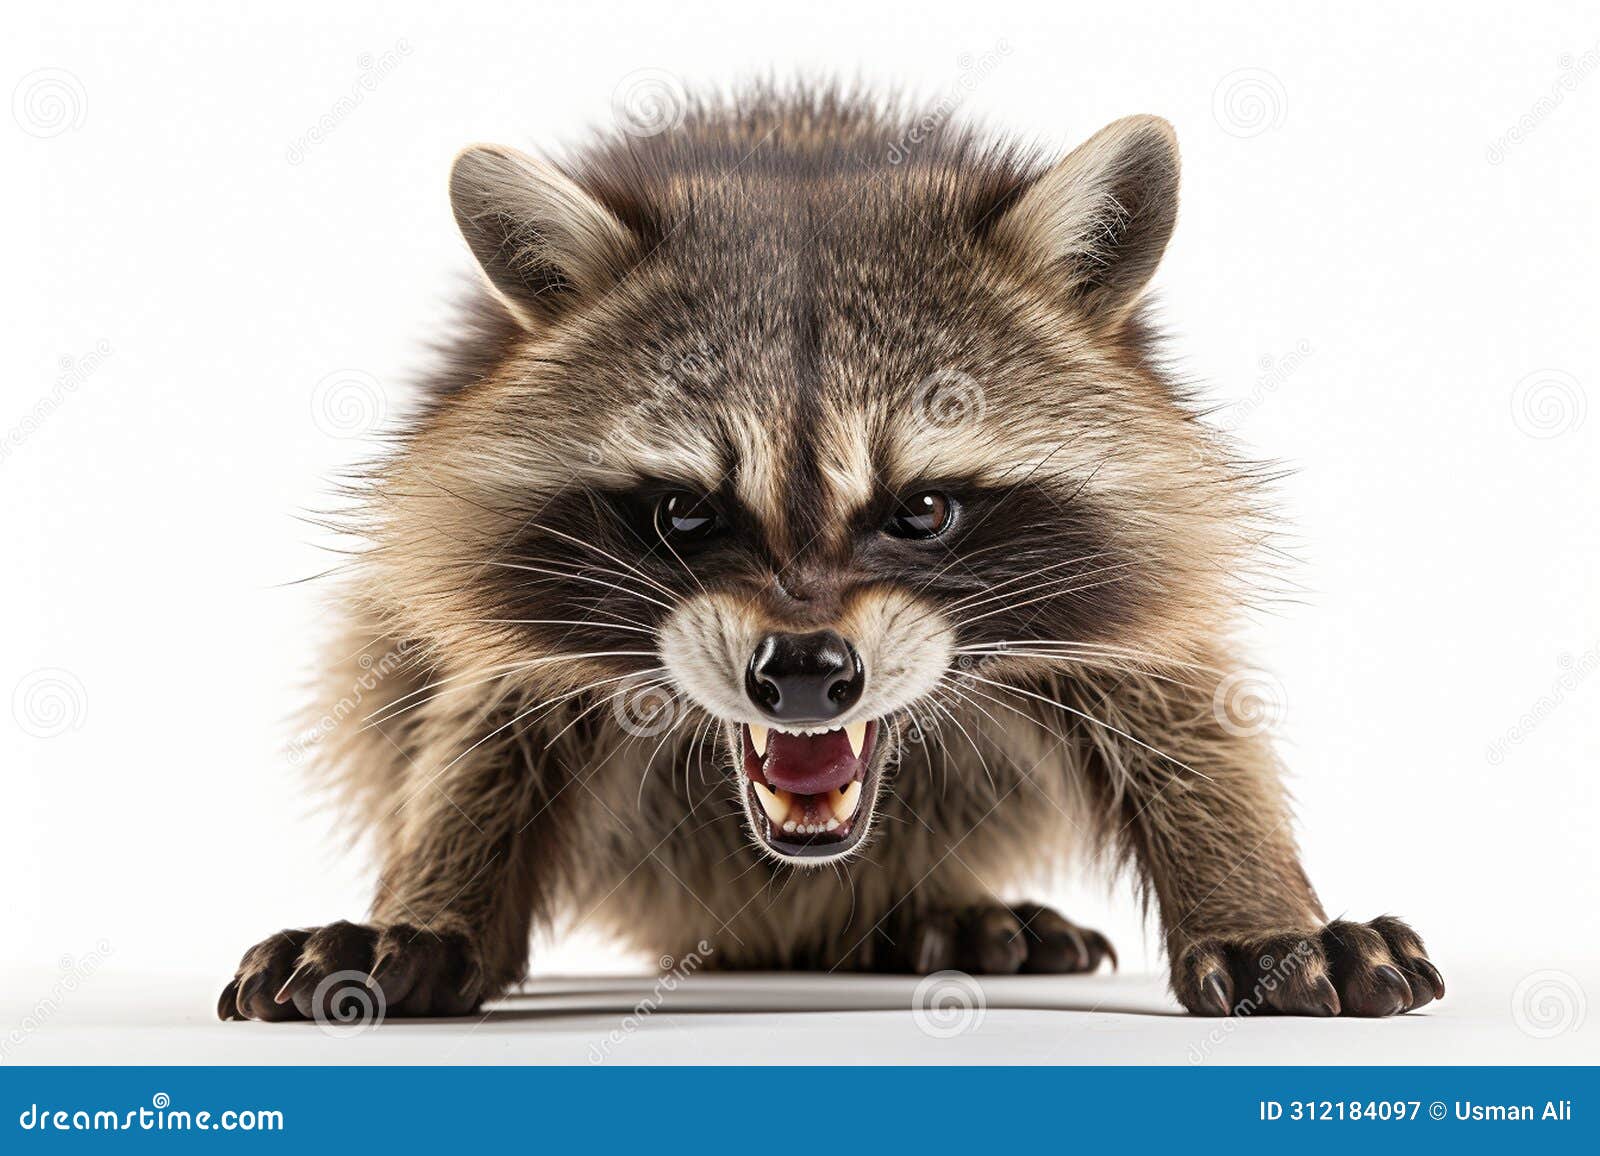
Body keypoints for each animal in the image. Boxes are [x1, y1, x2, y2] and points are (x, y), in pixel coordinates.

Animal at [220, 87, 1443, 1022]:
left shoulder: (1138, 539)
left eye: (924, 510)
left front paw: (1253, 900)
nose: (805, 674)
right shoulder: (482, 566)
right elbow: (488, 718)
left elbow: (1176, 704)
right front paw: (432, 902)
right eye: (684, 513)